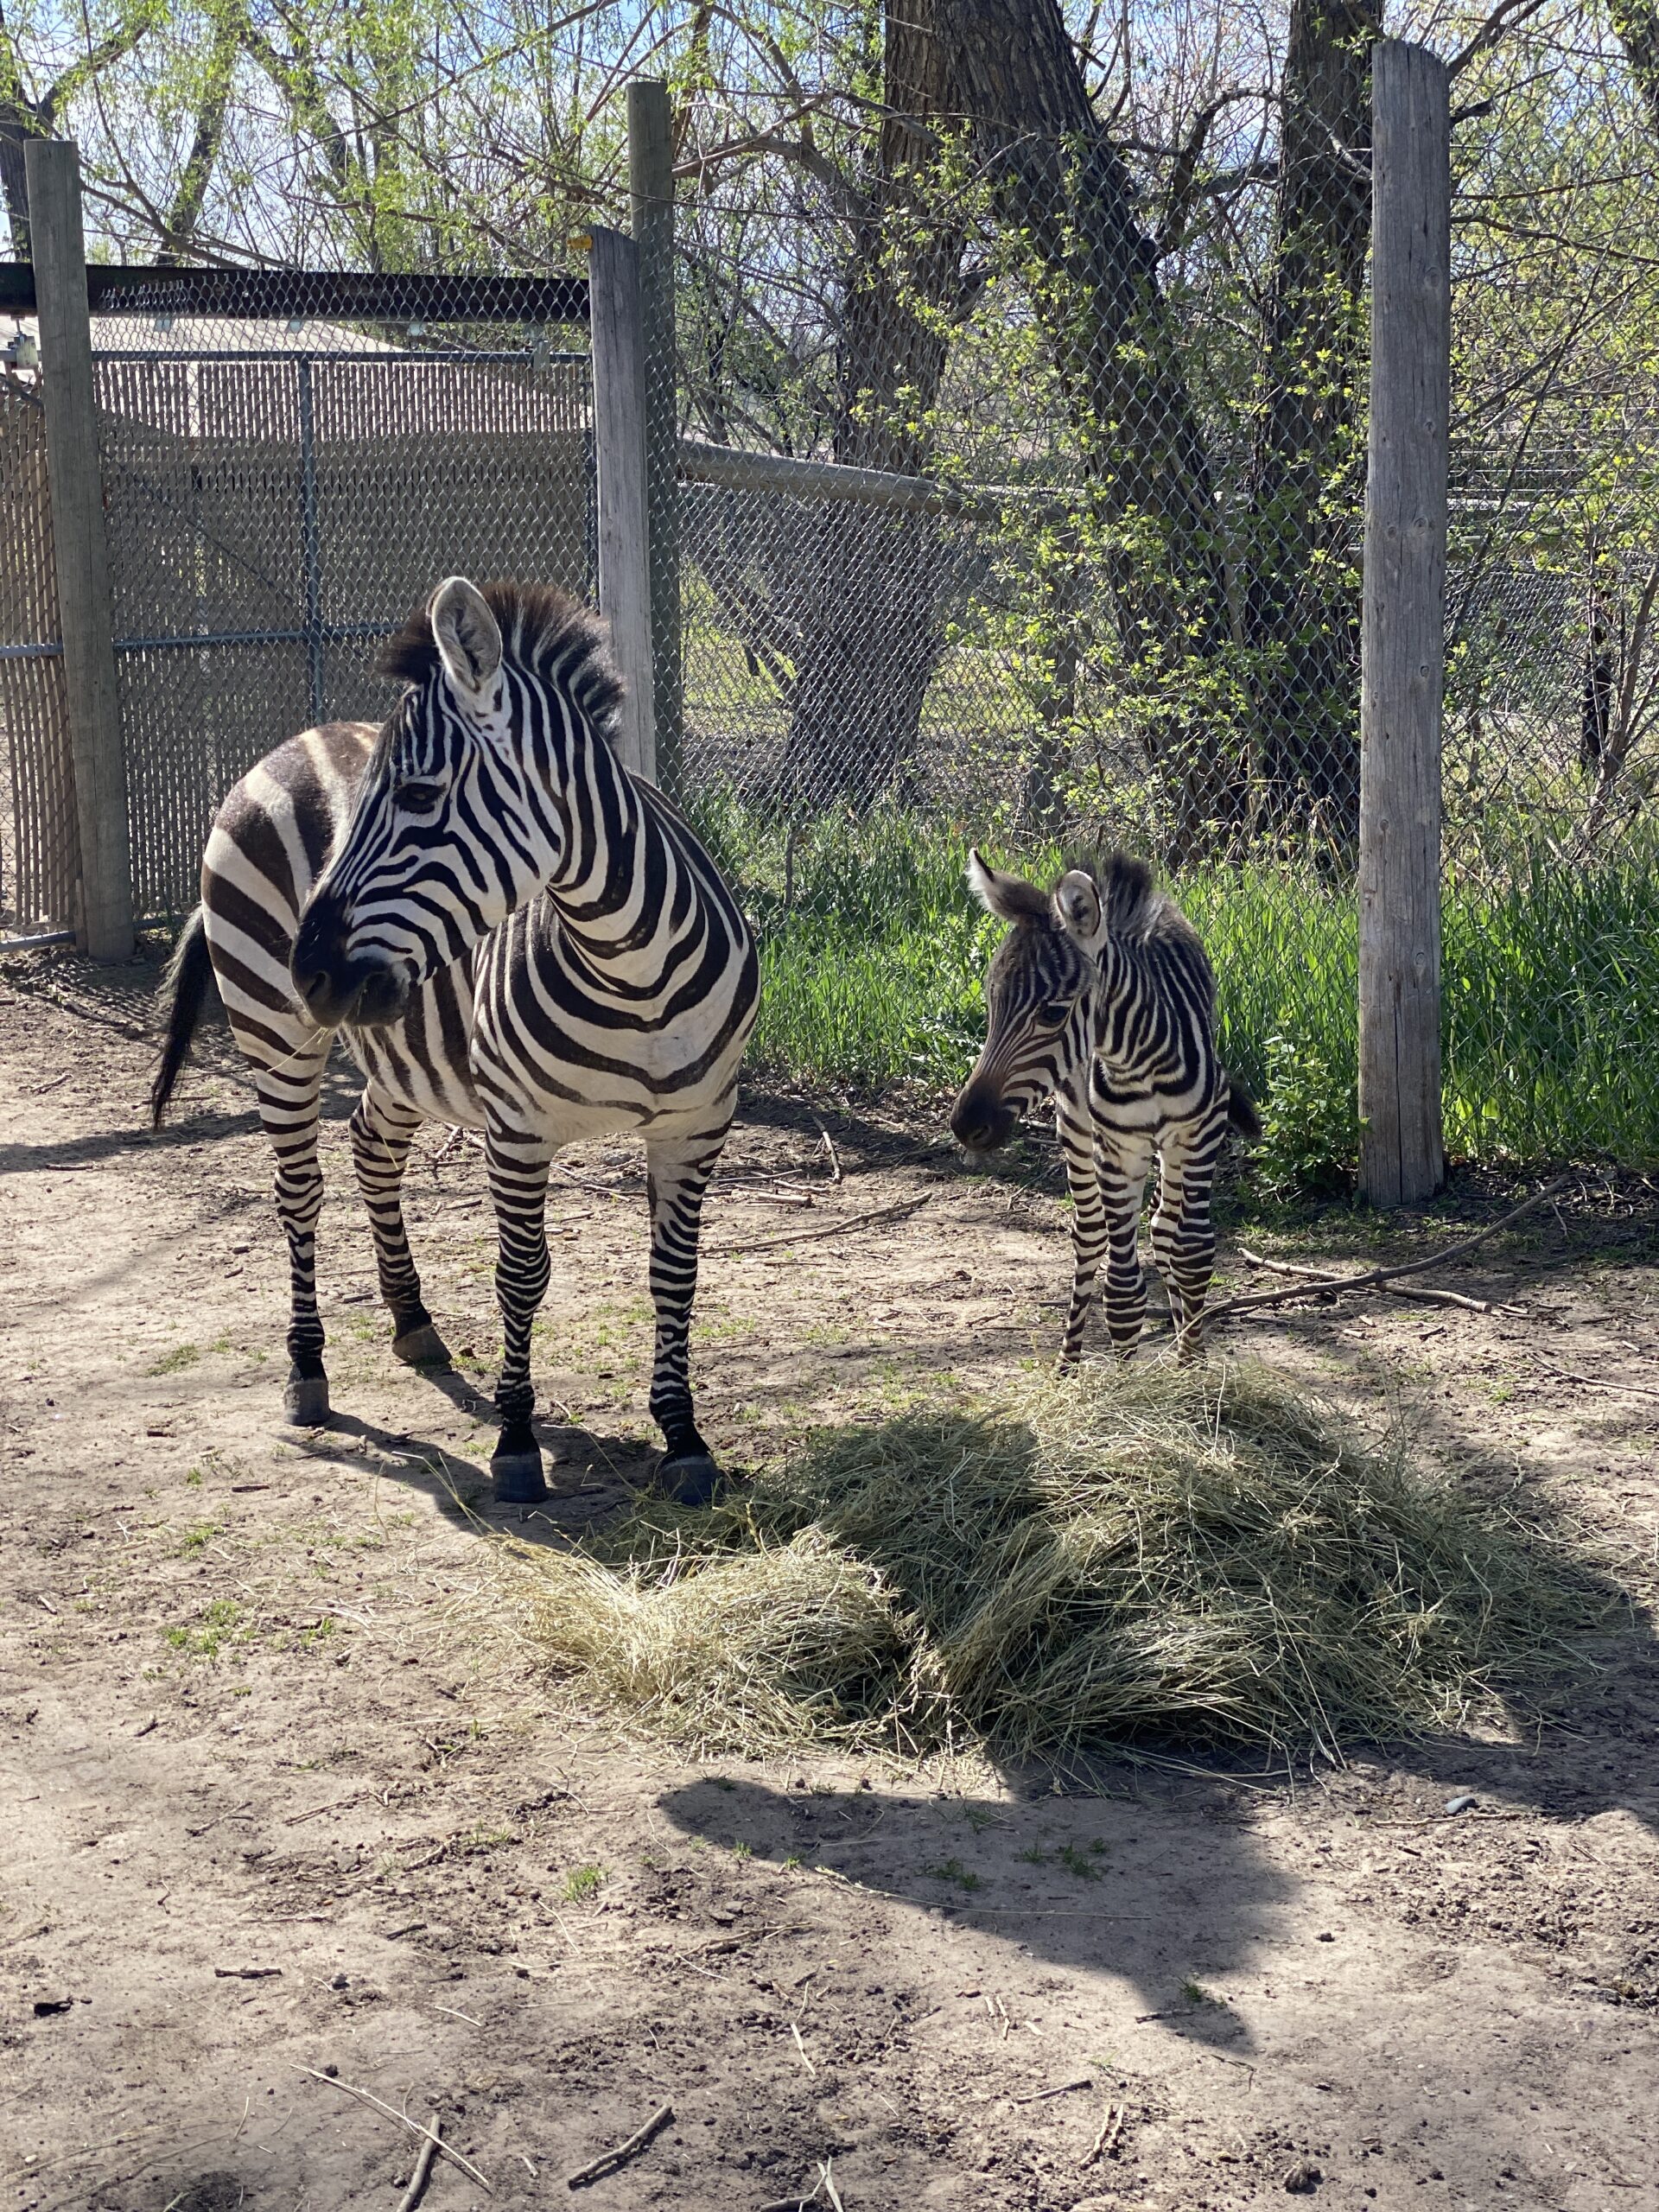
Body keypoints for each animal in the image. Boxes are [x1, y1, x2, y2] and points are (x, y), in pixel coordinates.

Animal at [150, 576, 759, 1506]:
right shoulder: (517, 1129)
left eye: (419, 796)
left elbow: (675, 1273)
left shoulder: (697, 1125)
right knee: (299, 1192)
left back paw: (412, 1319)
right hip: (272, 1029)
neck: (636, 974)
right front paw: (515, 1443)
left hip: (405, 1048)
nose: (310, 971)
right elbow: (522, 1275)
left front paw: (684, 1437)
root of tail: (295, 740)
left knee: (370, 1145)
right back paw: (307, 1371)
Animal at [949, 848, 1258, 1364]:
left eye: (1053, 1013)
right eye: (991, 1003)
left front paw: (1191, 1365)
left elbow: (1191, 1254)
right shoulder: (1115, 1146)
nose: (965, 1125)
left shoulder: (1202, 1132)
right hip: (1076, 1128)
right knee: (1090, 1236)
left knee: (1164, 1228)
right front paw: (1125, 1381)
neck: (1142, 1060)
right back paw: (1069, 1361)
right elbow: (1123, 1291)